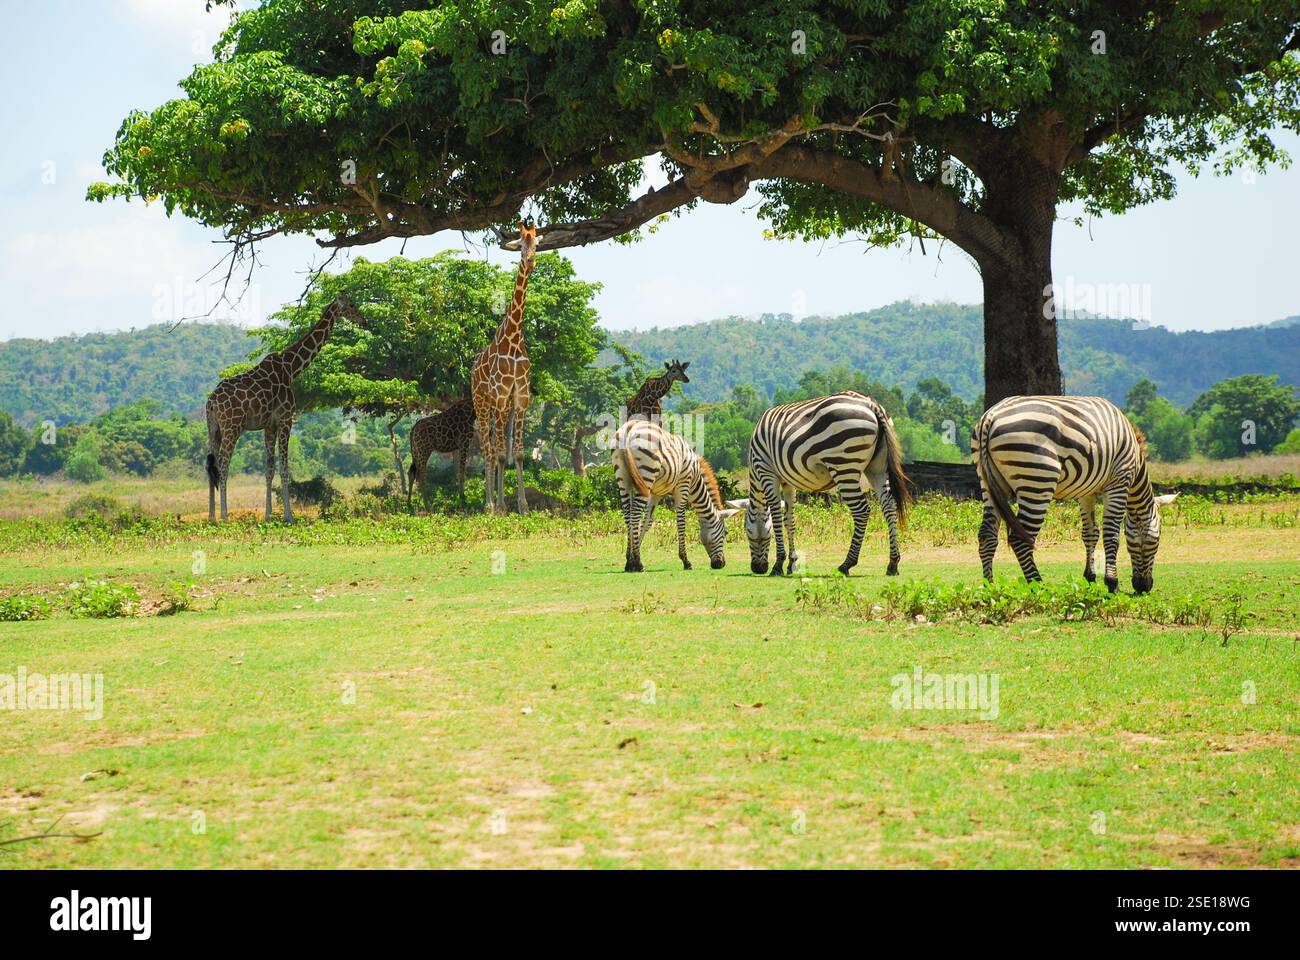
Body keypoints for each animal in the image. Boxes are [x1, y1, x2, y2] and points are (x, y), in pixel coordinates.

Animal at [612, 418, 740, 572]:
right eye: (725, 532)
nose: (720, 564)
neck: (695, 481)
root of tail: (630, 428)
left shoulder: (656, 494)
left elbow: (647, 522)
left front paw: (632, 556)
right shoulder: (683, 486)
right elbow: (681, 519)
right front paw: (685, 560)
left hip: (623, 479)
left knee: (628, 515)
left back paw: (629, 562)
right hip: (646, 475)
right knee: (635, 514)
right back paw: (638, 563)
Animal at [740, 392, 910, 577]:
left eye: (747, 533)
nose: (758, 569)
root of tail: (871, 404)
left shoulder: (767, 472)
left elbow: (777, 518)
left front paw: (778, 564)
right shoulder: (788, 482)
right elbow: (789, 520)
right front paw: (792, 563)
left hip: (844, 465)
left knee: (862, 511)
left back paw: (846, 564)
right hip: (877, 468)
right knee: (889, 507)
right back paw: (893, 563)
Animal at [972, 395, 1178, 593]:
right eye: (1158, 539)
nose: (1143, 587)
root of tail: (990, 417)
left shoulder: (1086, 492)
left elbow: (1090, 532)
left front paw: (1090, 578)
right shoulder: (1119, 482)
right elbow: (1111, 534)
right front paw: (1112, 583)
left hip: (990, 482)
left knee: (987, 535)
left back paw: (989, 587)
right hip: (1038, 480)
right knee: (1020, 539)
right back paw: (1038, 586)